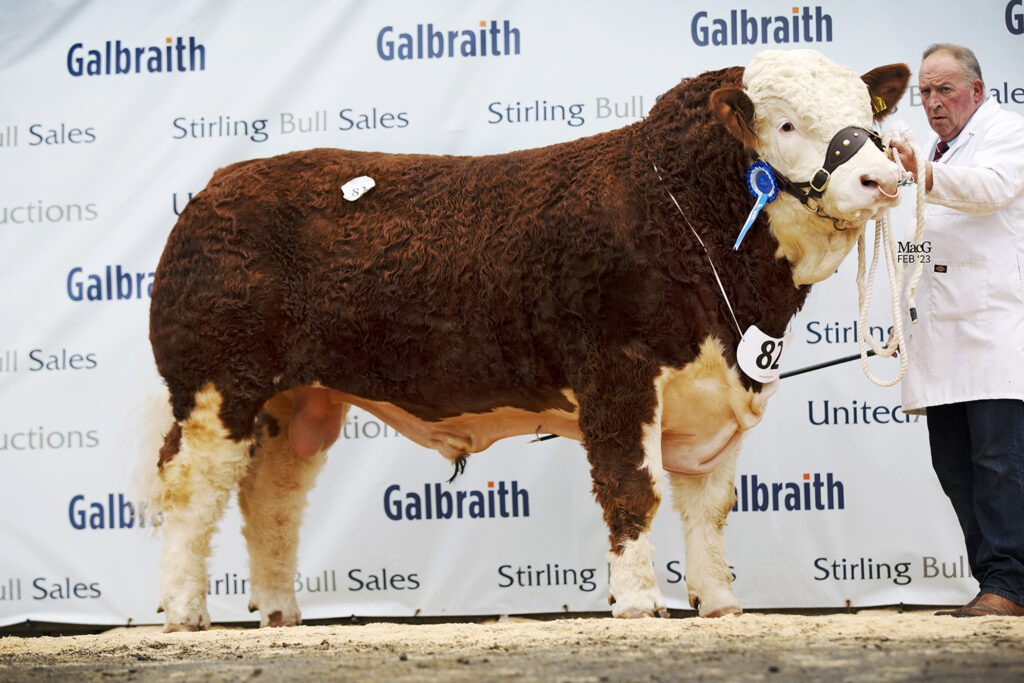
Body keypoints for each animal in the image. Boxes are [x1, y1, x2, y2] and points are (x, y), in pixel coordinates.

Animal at [145, 49, 910, 631]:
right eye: (786, 122)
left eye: (869, 116)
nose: (883, 177)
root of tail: (217, 185)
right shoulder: (617, 373)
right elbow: (634, 488)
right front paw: (638, 603)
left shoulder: (717, 391)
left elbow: (710, 505)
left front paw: (719, 601)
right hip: (216, 385)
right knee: (189, 489)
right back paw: (184, 614)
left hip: (297, 401)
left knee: (271, 499)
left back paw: (280, 613)